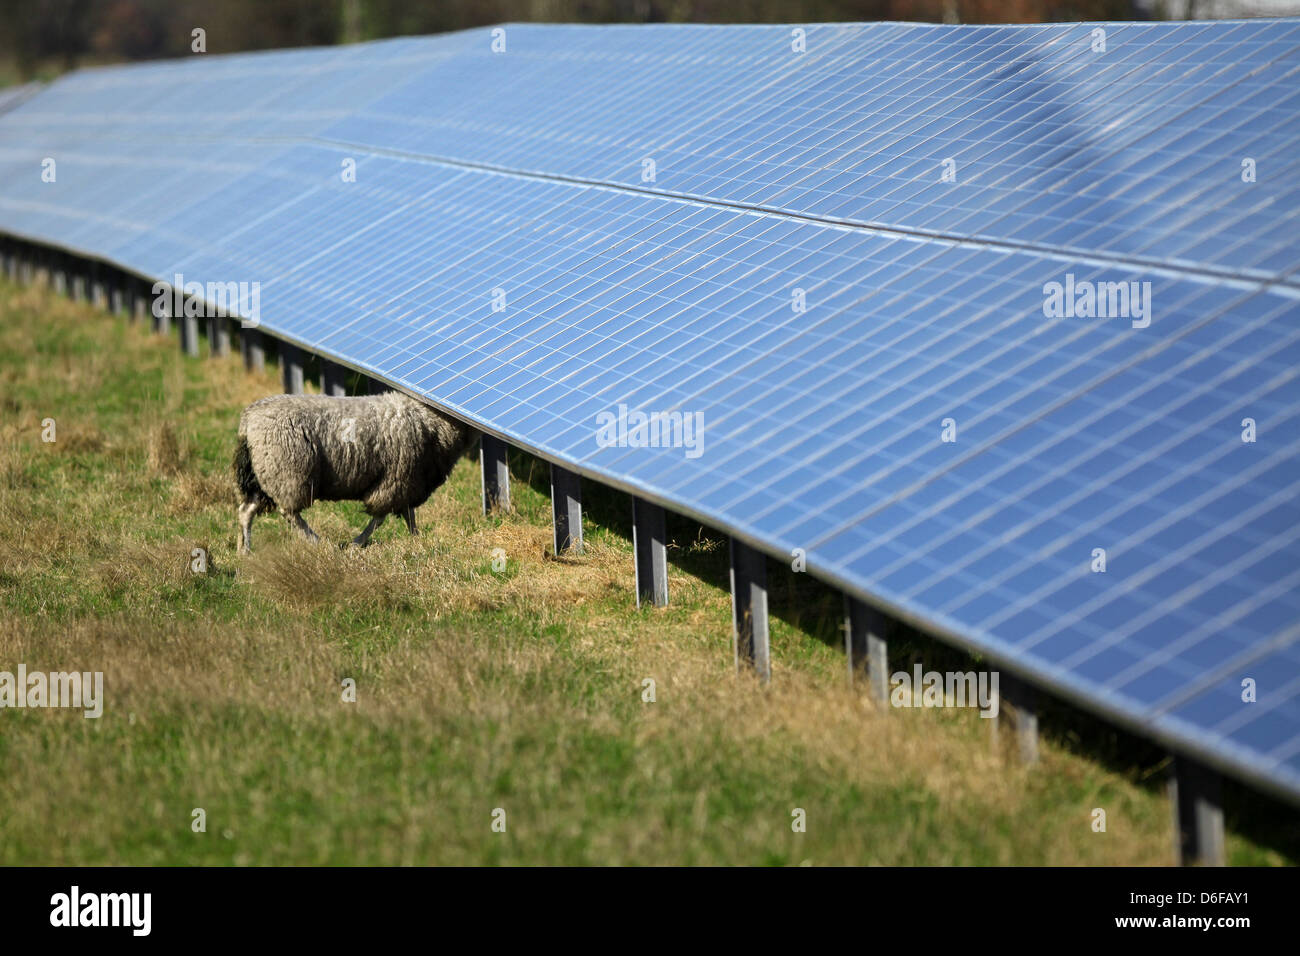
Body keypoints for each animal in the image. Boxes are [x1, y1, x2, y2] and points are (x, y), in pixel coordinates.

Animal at [233, 391, 474, 554]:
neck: (433, 421)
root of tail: (249, 419)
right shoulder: (396, 480)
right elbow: (381, 517)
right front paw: (357, 544)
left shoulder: (407, 482)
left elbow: (409, 514)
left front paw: (416, 539)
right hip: (288, 472)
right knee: (289, 512)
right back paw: (317, 542)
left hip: (262, 473)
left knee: (247, 510)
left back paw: (244, 550)